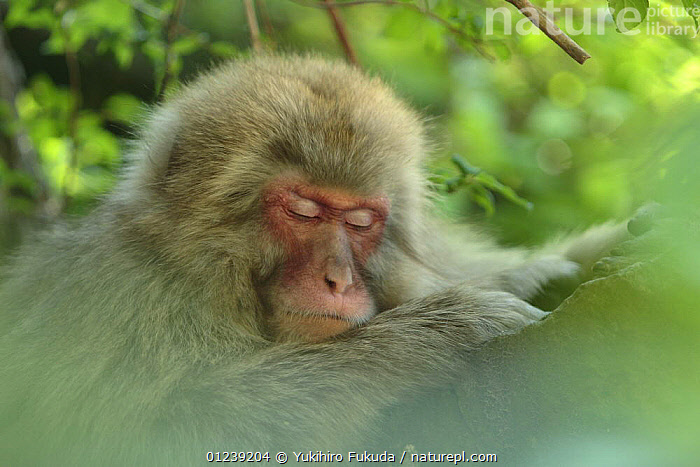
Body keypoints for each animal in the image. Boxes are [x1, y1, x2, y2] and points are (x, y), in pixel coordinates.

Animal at [0, 55, 626, 465]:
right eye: (303, 209)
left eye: (360, 221)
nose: (337, 279)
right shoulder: (121, 299)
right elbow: (154, 434)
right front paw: (444, 330)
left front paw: (555, 267)